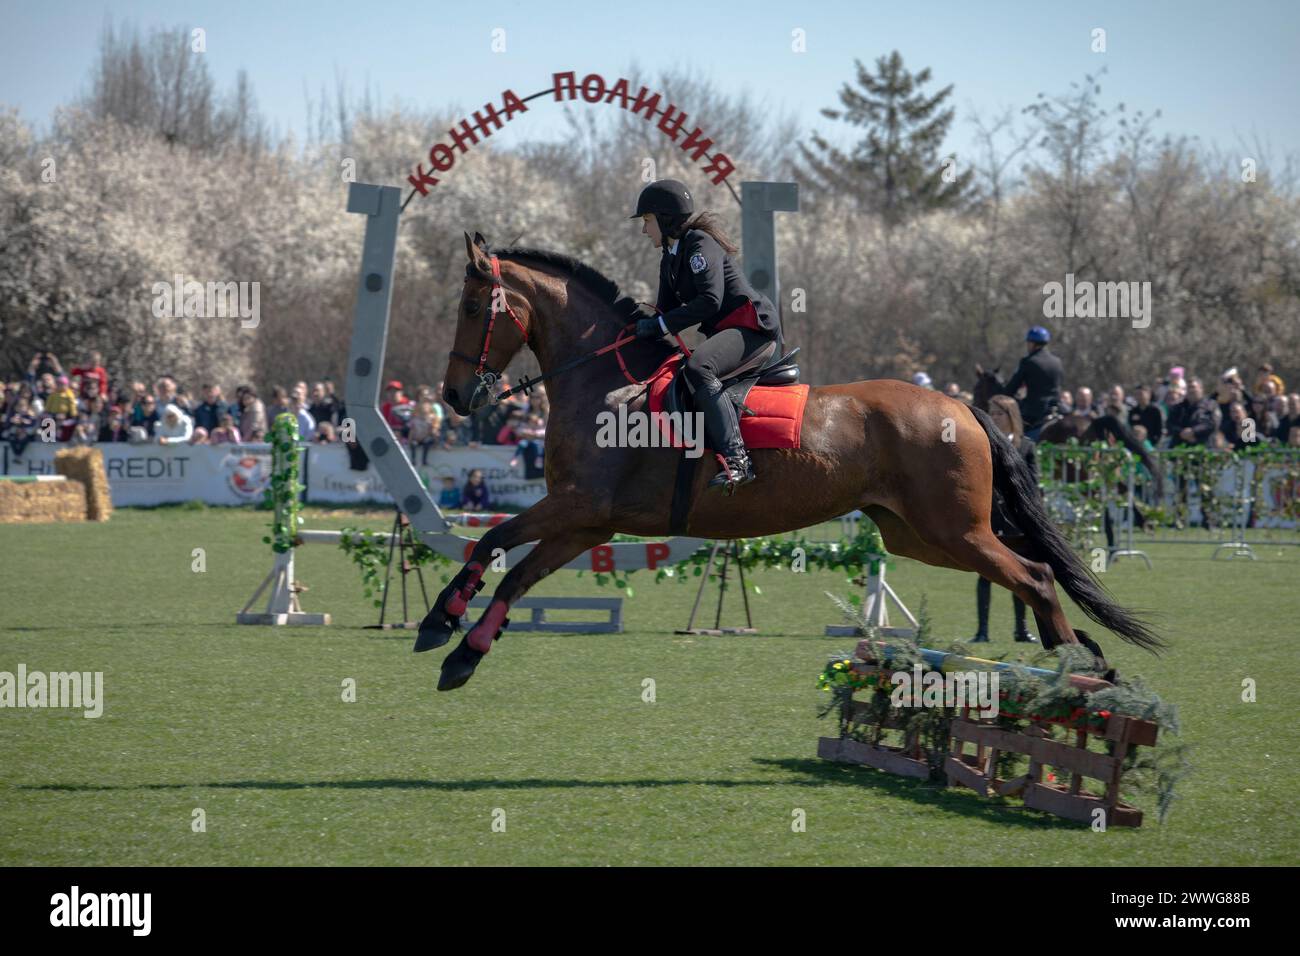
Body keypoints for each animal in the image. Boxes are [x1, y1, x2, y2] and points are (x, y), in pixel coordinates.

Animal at [419, 234, 1163, 691]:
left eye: (470, 306)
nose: (454, 396)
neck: (604, 382)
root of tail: (961, 406)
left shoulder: (579, 508)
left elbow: (491, 539)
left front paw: (443, 624)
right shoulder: (588, 522)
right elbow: (512, 569)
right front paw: (456, 643)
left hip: (954, 530)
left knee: (1035, 574)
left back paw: (1077, 667)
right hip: (921, 536)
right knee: (1032, 571)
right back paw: (1083, 657)